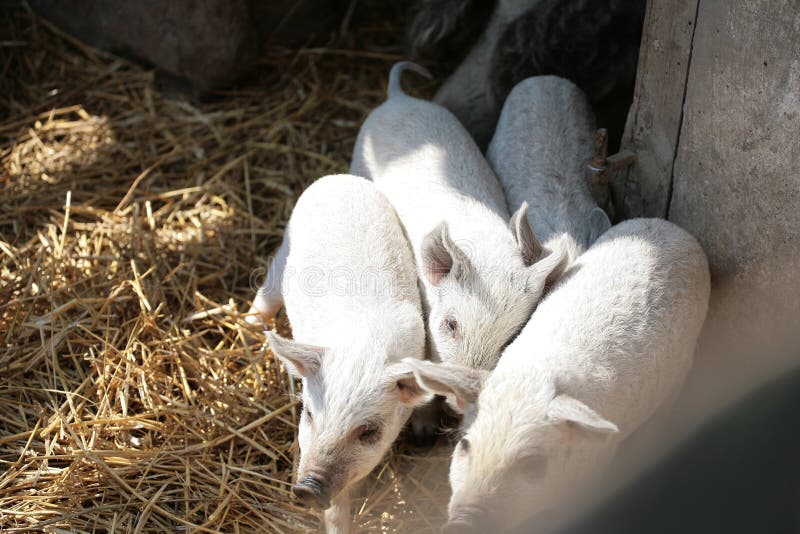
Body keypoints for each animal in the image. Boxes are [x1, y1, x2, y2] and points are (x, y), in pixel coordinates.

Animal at [261, 174, 430, 534]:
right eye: (309, 414)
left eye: (368, 431)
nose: (306, 489)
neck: (364, 348)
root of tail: (336, 179)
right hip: (283, 252)